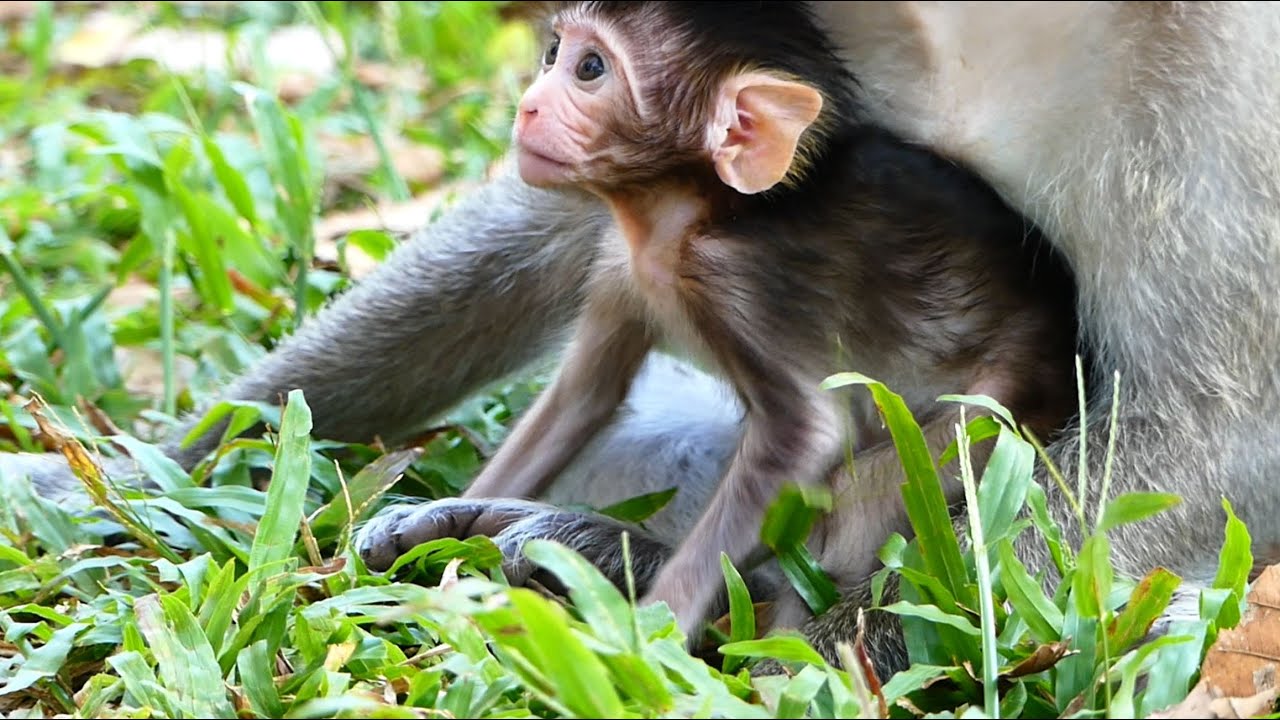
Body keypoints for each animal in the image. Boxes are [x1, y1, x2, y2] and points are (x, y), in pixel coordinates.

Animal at [8, 0, 1280, 688]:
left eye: (581, 61)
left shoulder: (1226, 81)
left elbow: (1211, 433)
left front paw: (763, 652)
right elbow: (581, 222)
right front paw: (118, 481)